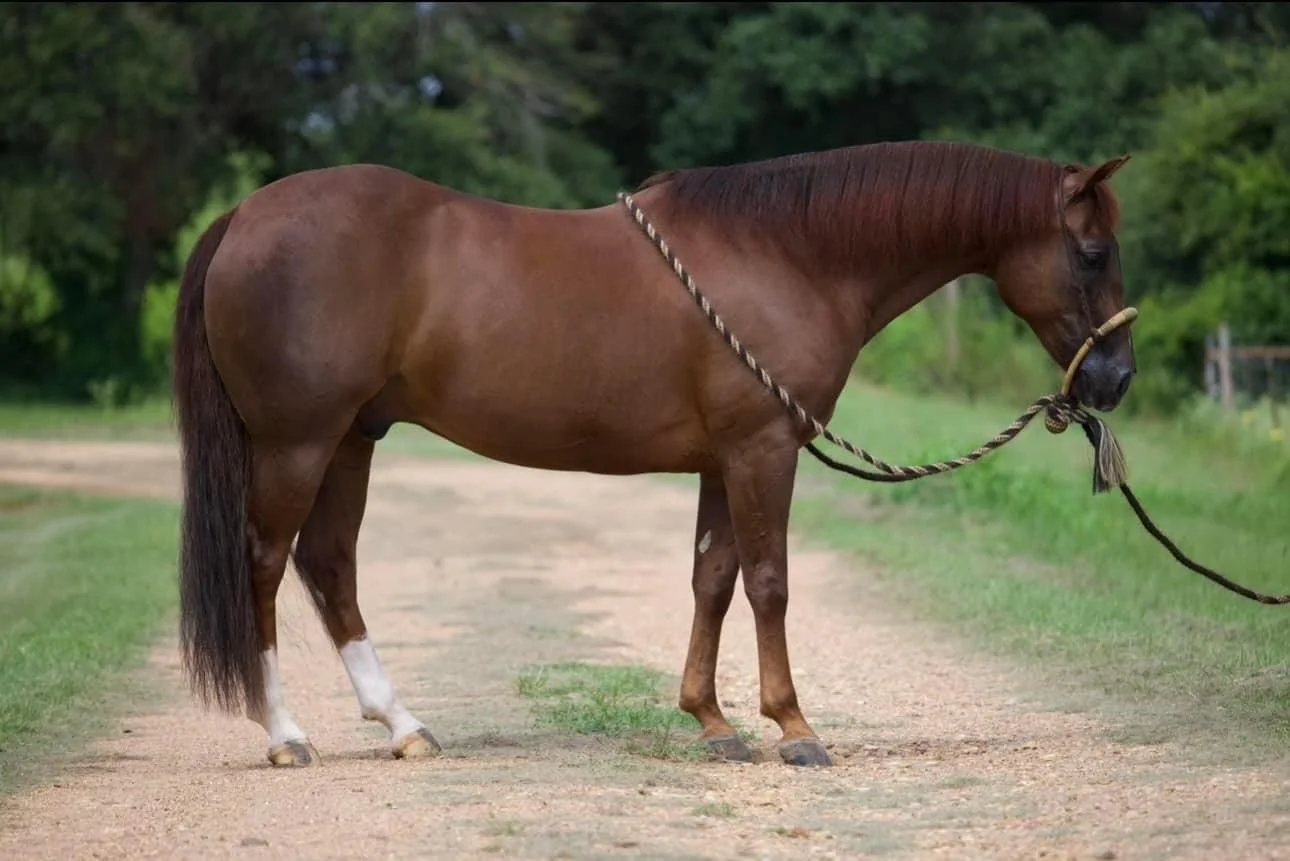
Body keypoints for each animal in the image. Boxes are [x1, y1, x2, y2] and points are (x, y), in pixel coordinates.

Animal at [172, 139, 1135, 769]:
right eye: (1092, 252)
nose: (1116, 376)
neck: (787, 254)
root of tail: (244, 214)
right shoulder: (762, 451)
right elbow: (769, 581)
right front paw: (794, 728)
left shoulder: (723, 459)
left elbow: (712, 576)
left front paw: (712, 722)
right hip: (299, 443)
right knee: (265, 563)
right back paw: (286, 735)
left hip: (351, 441)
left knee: (329, 566)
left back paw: (403, 725)